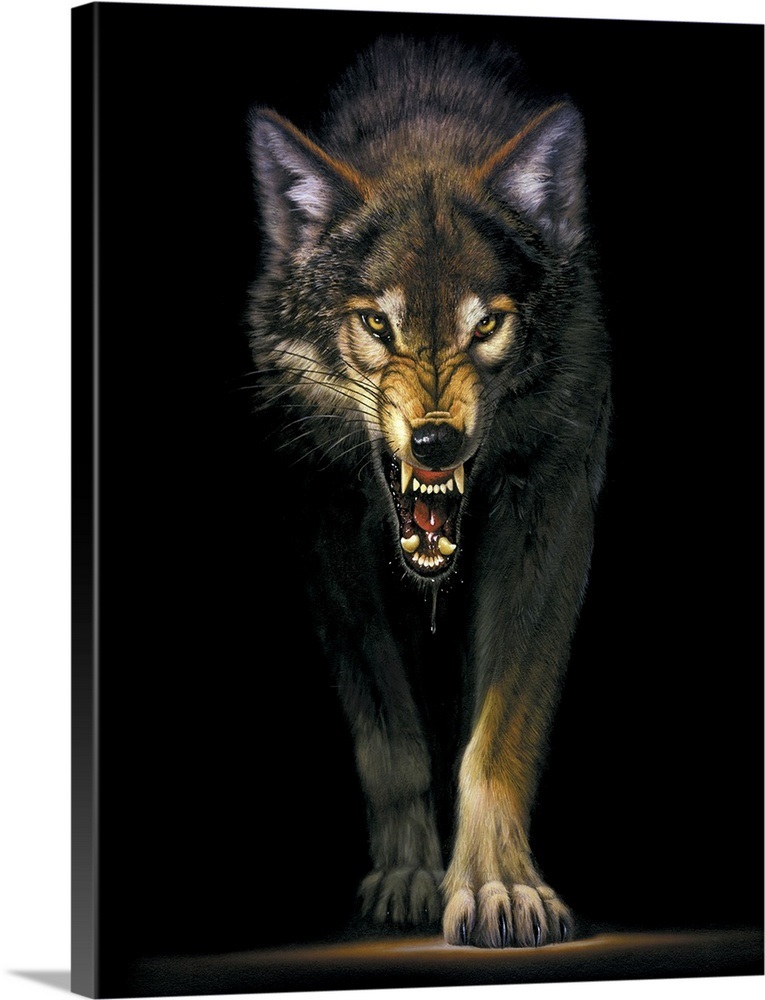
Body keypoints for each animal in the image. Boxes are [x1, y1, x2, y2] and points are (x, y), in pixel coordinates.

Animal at [247, 36, 610, 948]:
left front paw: (497, 887)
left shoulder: (550, 515)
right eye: (378, 324)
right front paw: (410, 875)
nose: (436, 443)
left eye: (487, 325)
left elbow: (499, 734)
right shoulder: (323, 527)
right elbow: (390, 738)